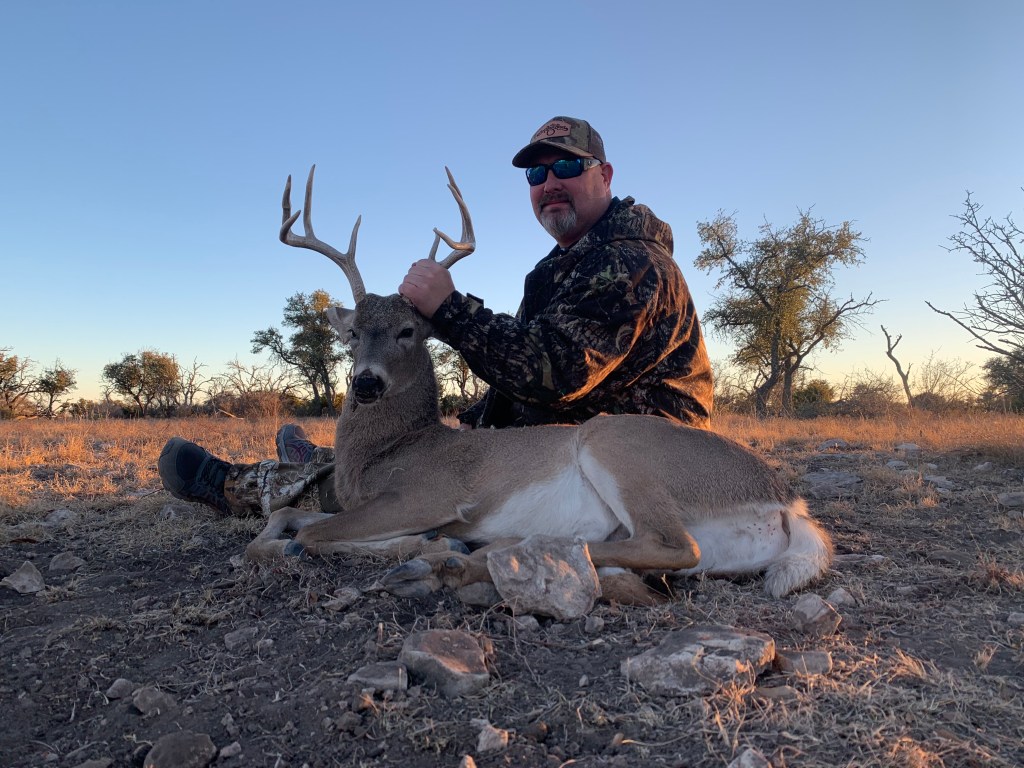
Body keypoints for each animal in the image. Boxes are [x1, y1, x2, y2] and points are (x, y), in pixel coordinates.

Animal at [245, 166, 833, 603]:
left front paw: (414, 544)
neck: (389, 452)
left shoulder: (428, 495)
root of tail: (789, 503)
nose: (366, 383)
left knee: (669, 543)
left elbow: (313, 533)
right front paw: (274, 541)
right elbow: (282, 518)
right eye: (353, 333)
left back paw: (463, 556)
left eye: (408, 331)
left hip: (616, 442)